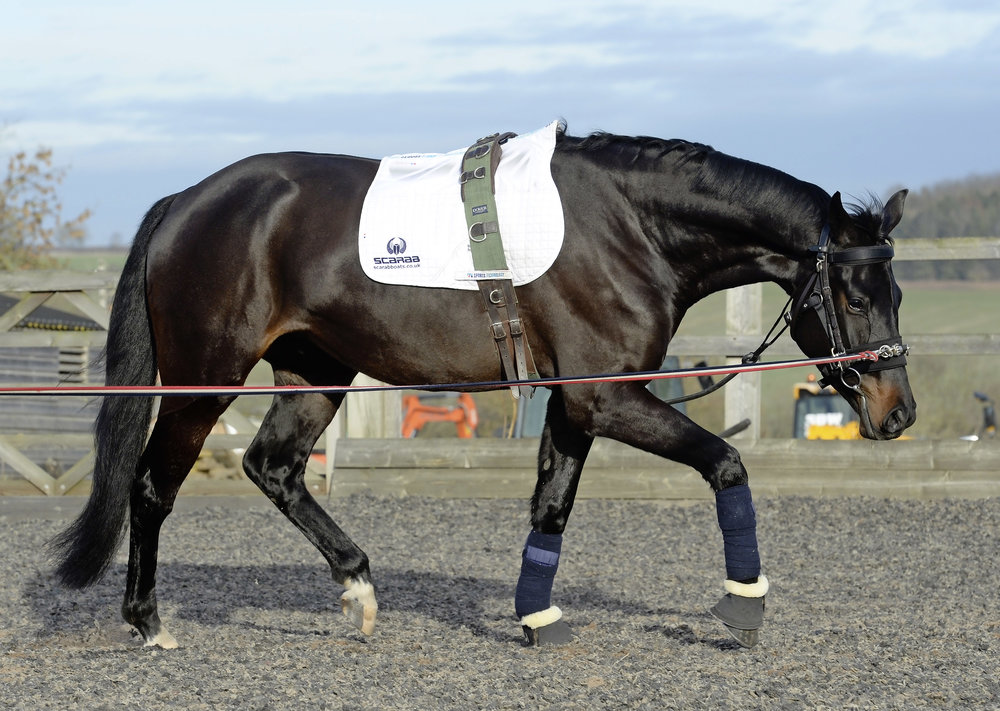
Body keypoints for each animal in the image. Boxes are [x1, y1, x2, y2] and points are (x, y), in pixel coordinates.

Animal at [50, 124, 916, 650]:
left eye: (896, 292)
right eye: (855, 296)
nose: (898, 411)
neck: (629, 228)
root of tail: (187, 201)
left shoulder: (573, 402)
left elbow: (551, 506)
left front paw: (537, 614)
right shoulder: (605, 395)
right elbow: (725, 464)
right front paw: (745, 598)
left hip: (317, 370)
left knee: (274, 467)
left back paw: (358, 585)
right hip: (205, 379)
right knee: (153, 486)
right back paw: (148, 620)